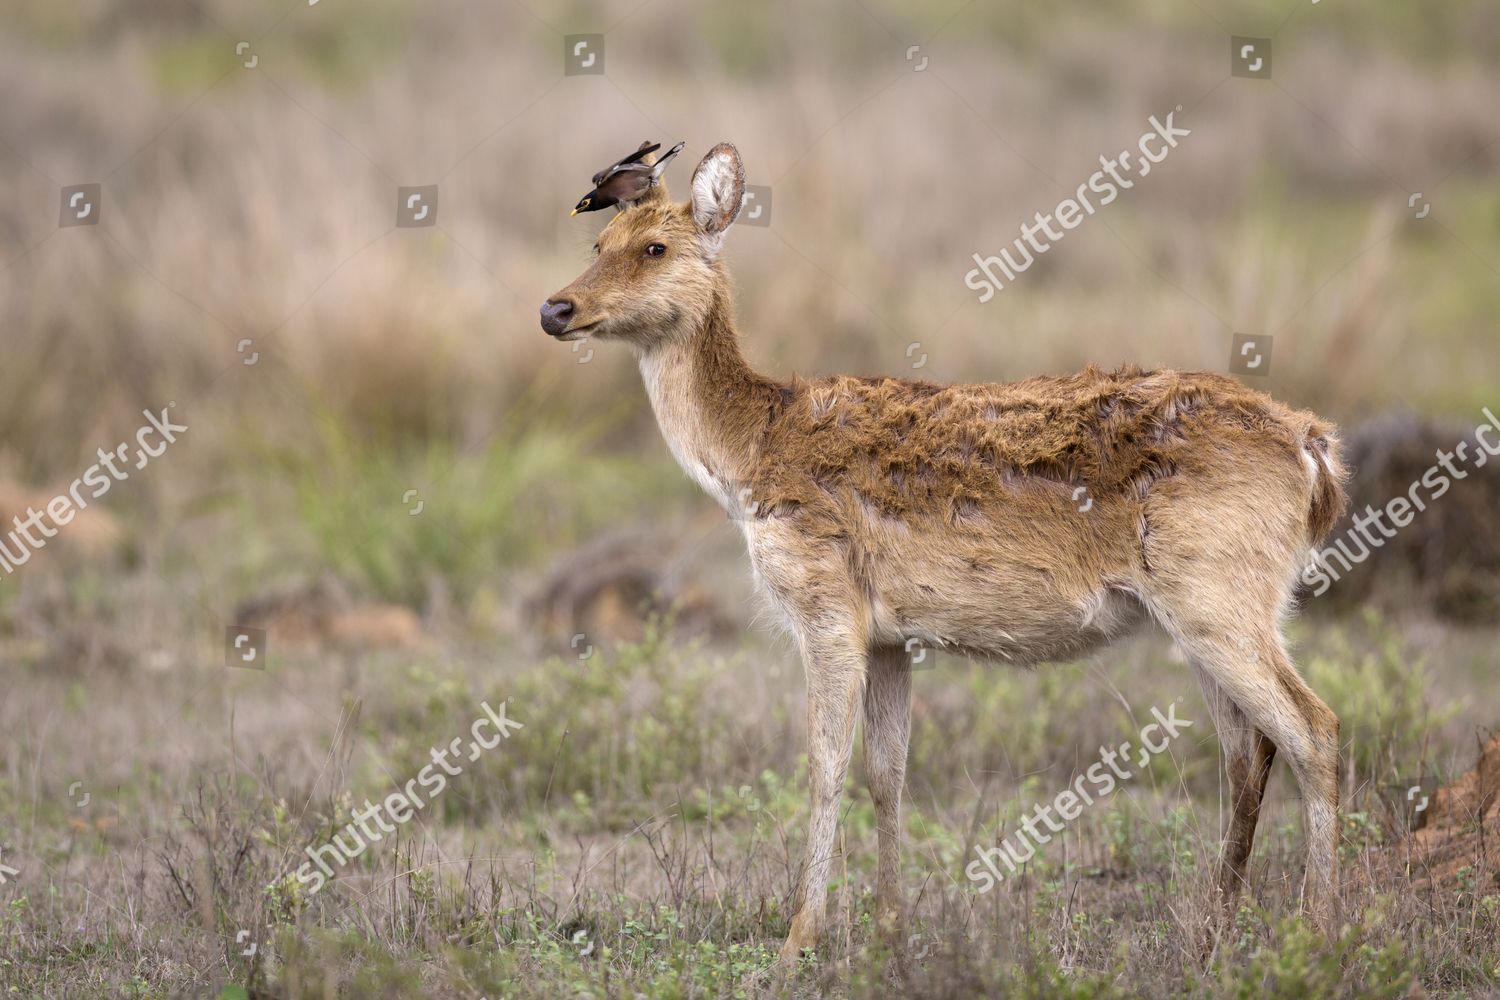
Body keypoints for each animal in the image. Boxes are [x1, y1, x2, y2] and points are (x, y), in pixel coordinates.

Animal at [539, 141, 1349, 967]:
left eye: (655, 247)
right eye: (597, 244)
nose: (556, 309)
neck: (750, 456)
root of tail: (1316, 452)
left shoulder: (825, 602)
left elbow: (823, 768)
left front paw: (798, 942)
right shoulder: (891, 635)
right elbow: (886, 773)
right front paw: (892, 929)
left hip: (1218, 592)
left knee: (1313, 728)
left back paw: (1318, 932)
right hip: (1205, 608)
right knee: (1247, 752)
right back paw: (1214, 933)